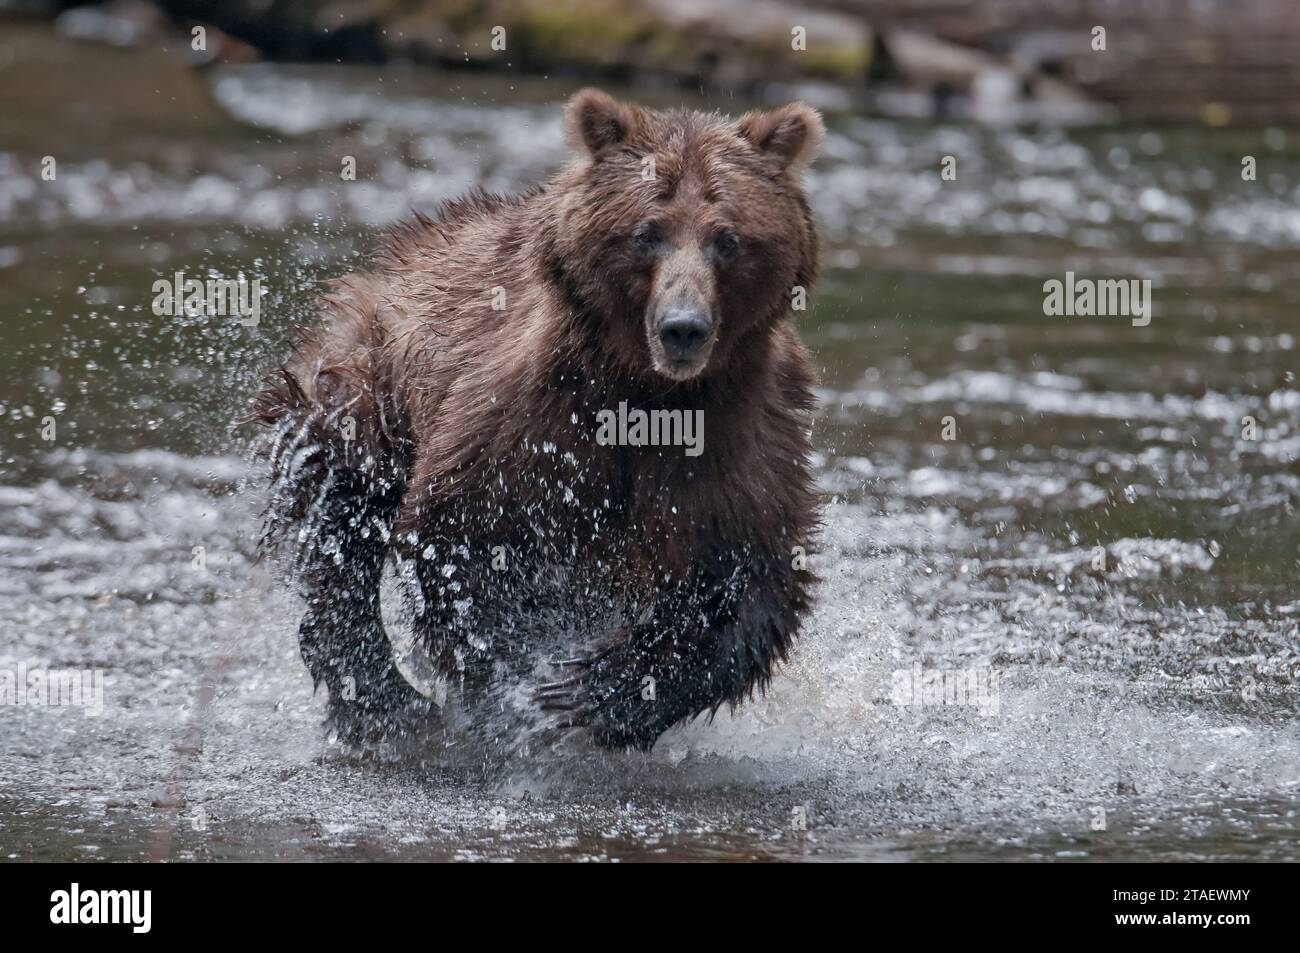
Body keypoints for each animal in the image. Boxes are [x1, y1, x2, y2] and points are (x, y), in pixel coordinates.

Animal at [251, 89, 823, 753]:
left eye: (727, 238)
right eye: (646, 233)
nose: (683, 328)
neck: (645, 393)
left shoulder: (737, 437)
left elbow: (751, 578)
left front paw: (587, 691)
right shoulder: (527, 419)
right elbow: (464, 537)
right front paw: (521, 675)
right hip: (369, 382)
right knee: (339, 518)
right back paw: (385, 698)